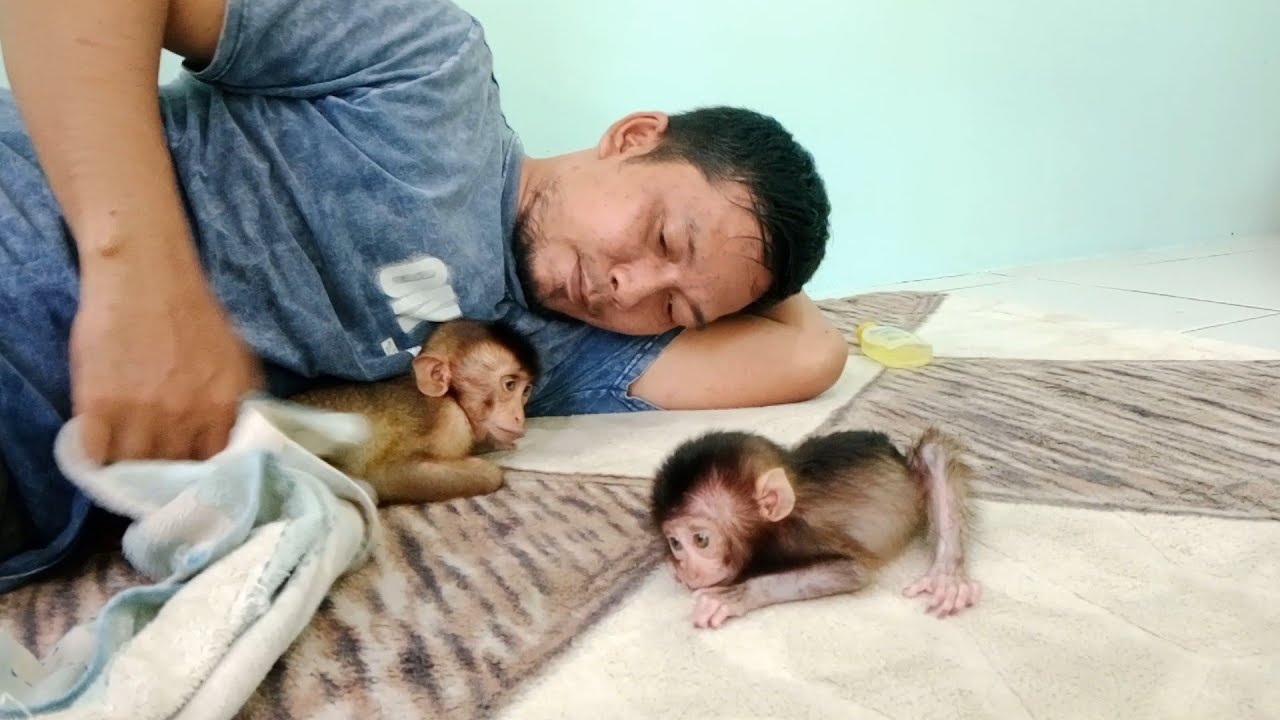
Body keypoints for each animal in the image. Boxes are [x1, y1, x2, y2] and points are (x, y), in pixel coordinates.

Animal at [290, 319, 540, 506]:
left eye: (526, 390)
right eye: (510, 385)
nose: (520, 416)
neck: (451, 398)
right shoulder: (449, 421)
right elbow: (384, 474)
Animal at [650, 426, 980, 629]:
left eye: (700, 540)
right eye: (675, 544)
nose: (684, 570)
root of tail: (892, 450)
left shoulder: (799, 536)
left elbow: (850, 572)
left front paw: (736, 596)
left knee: (933, 452)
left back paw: (946, 573)